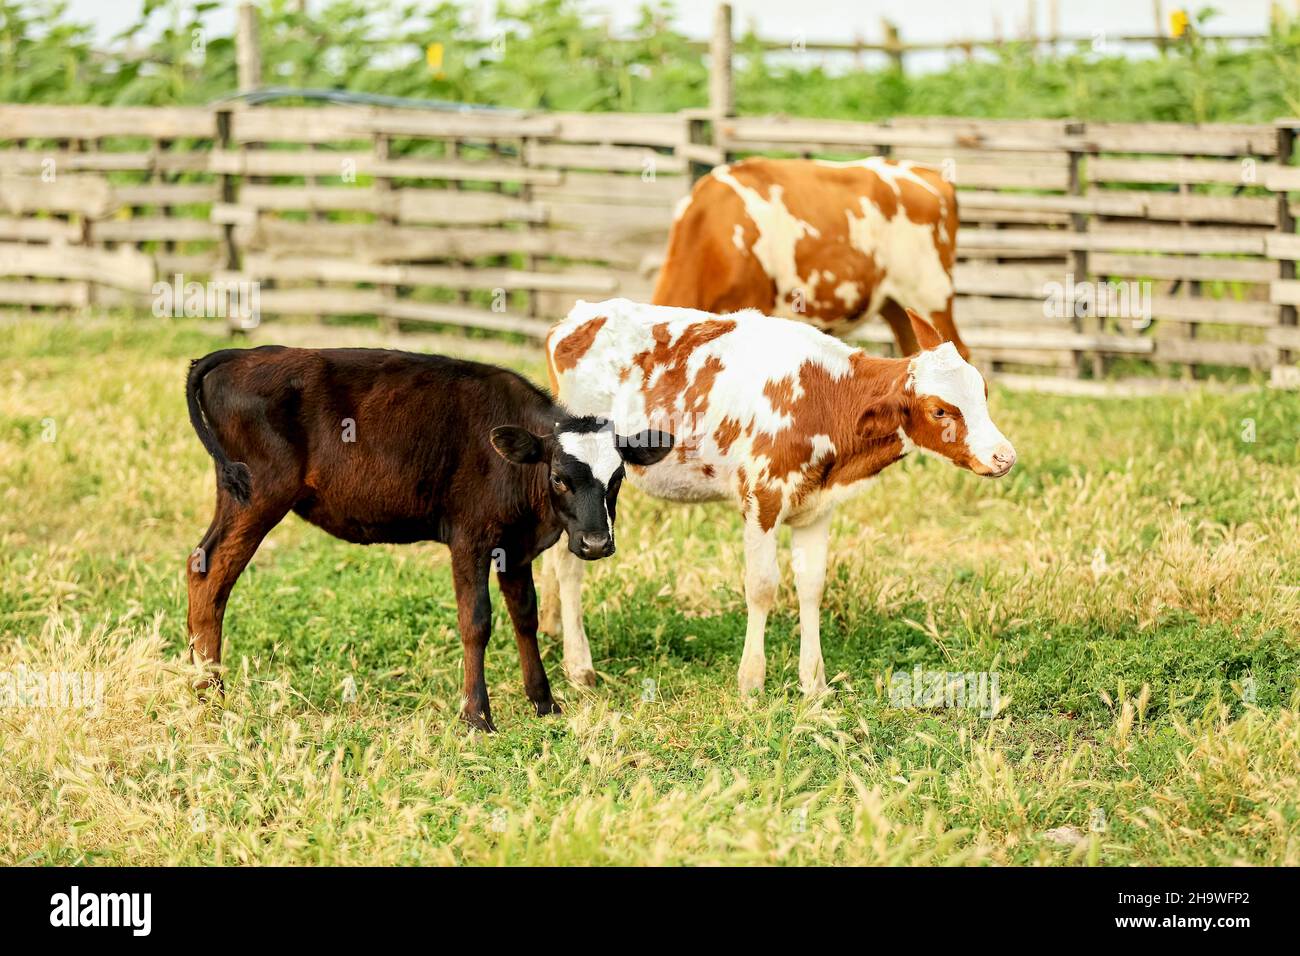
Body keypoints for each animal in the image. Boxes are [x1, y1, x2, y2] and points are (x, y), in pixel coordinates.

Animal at [185, 345, 673, 731]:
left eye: (617, 479)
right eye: (558, 478)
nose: (596, 543)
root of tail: (245, 353)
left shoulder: (515, 548)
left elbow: (526, 618)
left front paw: (544, 701)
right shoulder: (470, 538)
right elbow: (476, 622)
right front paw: (477, 716)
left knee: (199, 565)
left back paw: (197, 682)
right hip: (259, 494)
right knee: (213, 578)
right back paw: (212, 693)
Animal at [541, 298, 1014, 695]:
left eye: (984, 393)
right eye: (940, 410)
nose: (1004, 456)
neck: (825, 398)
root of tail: (576, 317)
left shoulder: (817, 508)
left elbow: (812, 586)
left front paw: (814, 683)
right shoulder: (761, 498)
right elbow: (763, 586)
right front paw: (751, 681)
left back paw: (549, 627)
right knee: (568, 565)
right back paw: (579, 665)